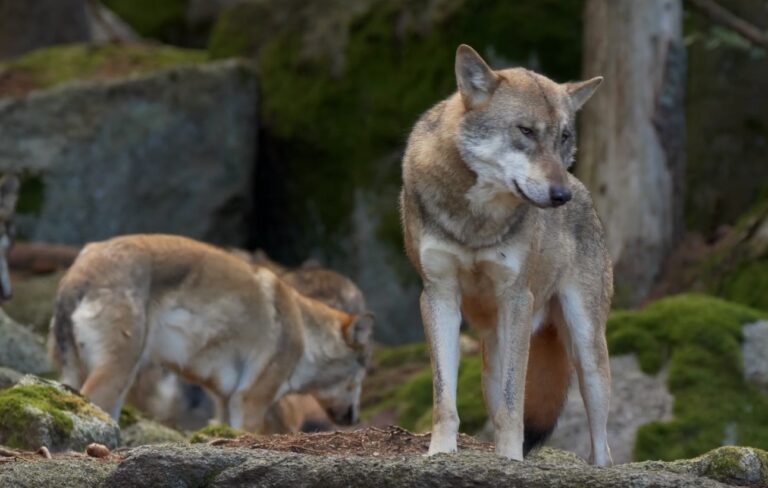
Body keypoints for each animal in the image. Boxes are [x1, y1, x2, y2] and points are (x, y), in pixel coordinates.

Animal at [48, 234, 373, 431]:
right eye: (362, 375)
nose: (357, 418)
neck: (306, 335)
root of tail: (79, 272)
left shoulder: (225, 402)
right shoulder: (250, 401)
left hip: (107, 378)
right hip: (115, 373)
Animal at [400, 44, 612, 465]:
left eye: (564, 137)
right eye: (525, 131)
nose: (561, 196)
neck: (476, 220)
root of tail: (583, 192)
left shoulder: (517, 297)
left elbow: (514, 404)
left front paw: (511, 461)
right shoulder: (438, 294)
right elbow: (444, 397)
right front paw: (440, 452)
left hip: (586, 348)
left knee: (603, 443)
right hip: (492, 357)